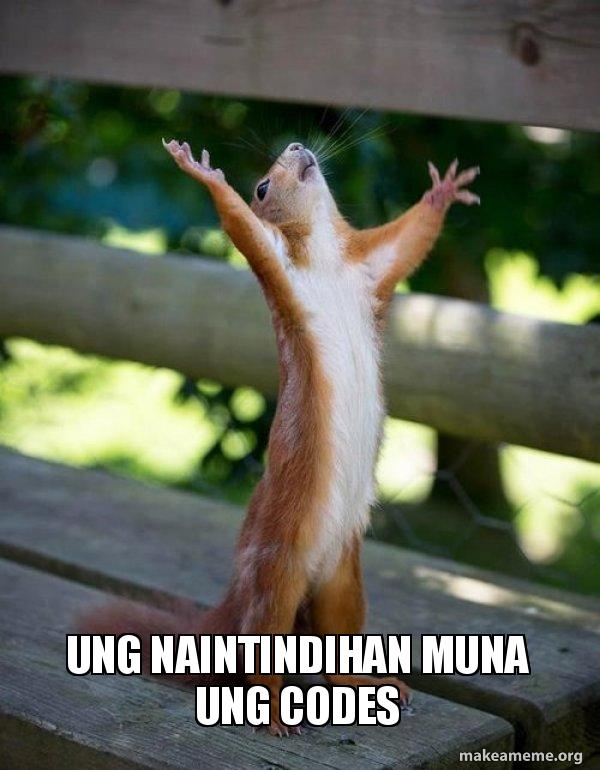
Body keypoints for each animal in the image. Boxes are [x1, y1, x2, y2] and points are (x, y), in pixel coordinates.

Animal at [80, 138, 479, 736]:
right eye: (262, 186)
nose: (296, 146)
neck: (327, 258)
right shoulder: (278, 266)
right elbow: (242, 227)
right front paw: (204, 173)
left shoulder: (371, 268)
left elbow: (408, 241)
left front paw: (444, 191)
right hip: (276, 571)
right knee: (261, 646)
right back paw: (272, 707)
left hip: (343, 584)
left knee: (337, 646)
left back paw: (367, 683)